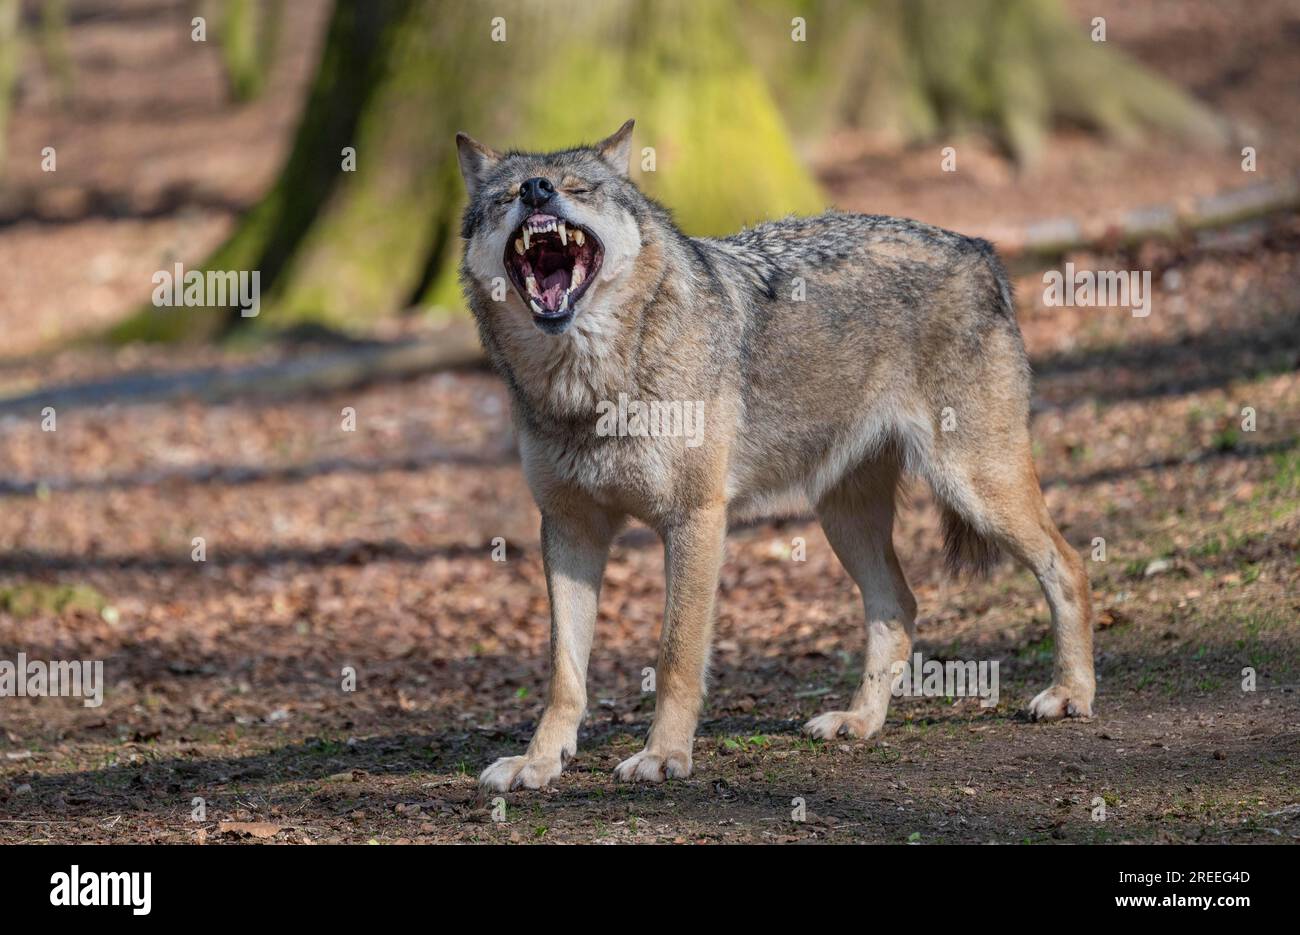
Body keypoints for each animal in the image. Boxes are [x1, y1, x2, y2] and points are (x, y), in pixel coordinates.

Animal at [456, 120, 1095, 792]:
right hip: (847, 517)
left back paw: (1070, 694)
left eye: (580, 188)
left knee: (1070, 565)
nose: (538, 189)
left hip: (976, 486)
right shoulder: (568, 529)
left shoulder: (696, 520)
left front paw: (664, 755)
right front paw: (539, 761)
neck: (591, 388)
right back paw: (860, 722)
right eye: (507, 197)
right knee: (900, 606)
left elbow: (677, 656)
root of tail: (980, 248)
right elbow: (564, 674)